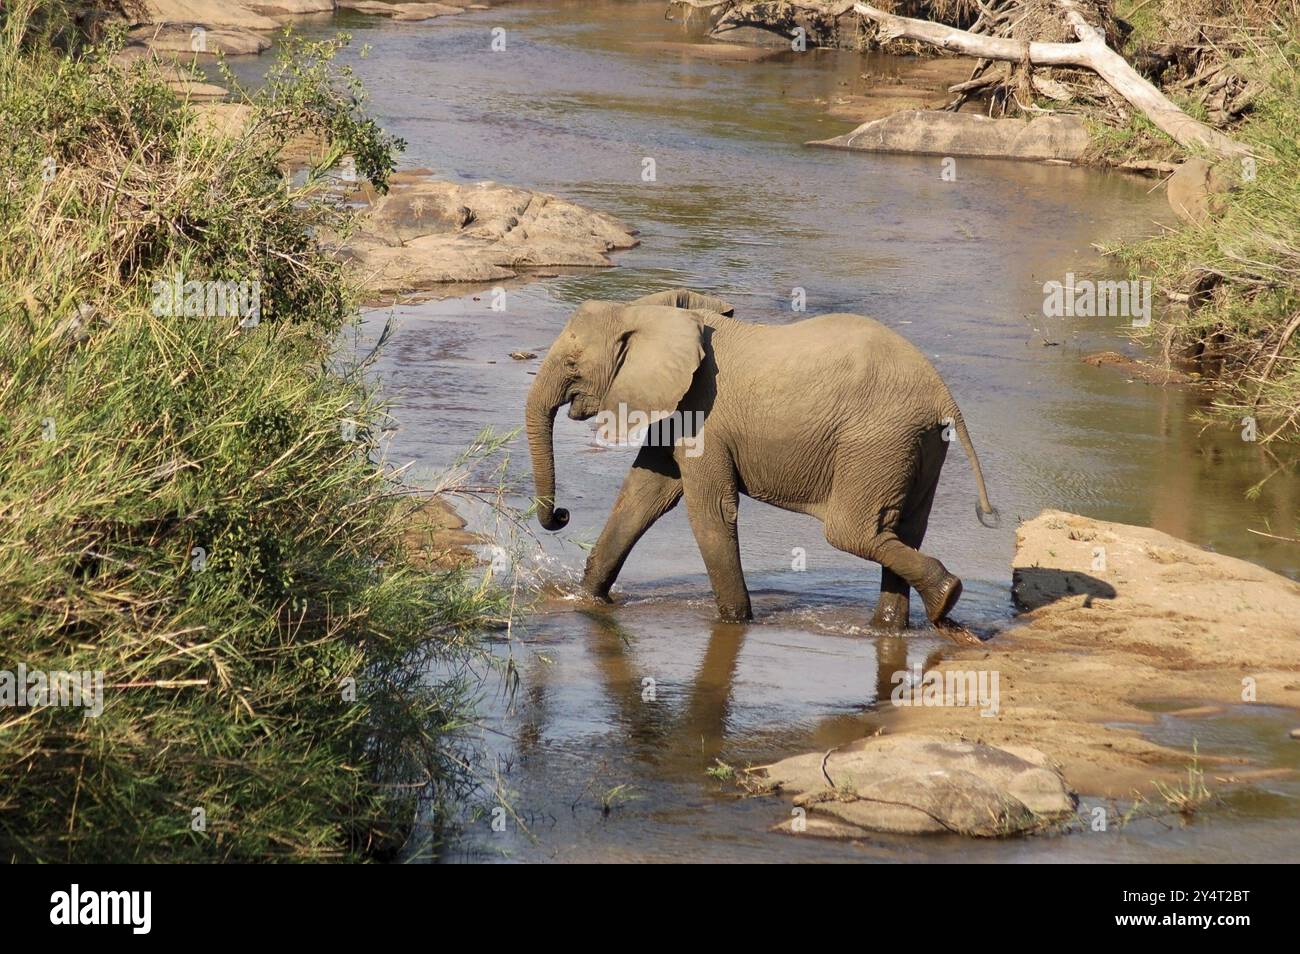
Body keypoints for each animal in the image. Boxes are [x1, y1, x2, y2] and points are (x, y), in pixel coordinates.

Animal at [524, 288, 998, 629]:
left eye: (572, 363)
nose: (562, 515)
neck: (644, 311)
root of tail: (943, 395)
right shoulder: (678, 408)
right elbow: (644, 495)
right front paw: (585, 599)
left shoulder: (704, 414)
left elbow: (709, 508)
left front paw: (735, 621)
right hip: (918, 444)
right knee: (902, 529)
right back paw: (901, 622)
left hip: (878, 440)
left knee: (851, 532)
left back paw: (946, 595)